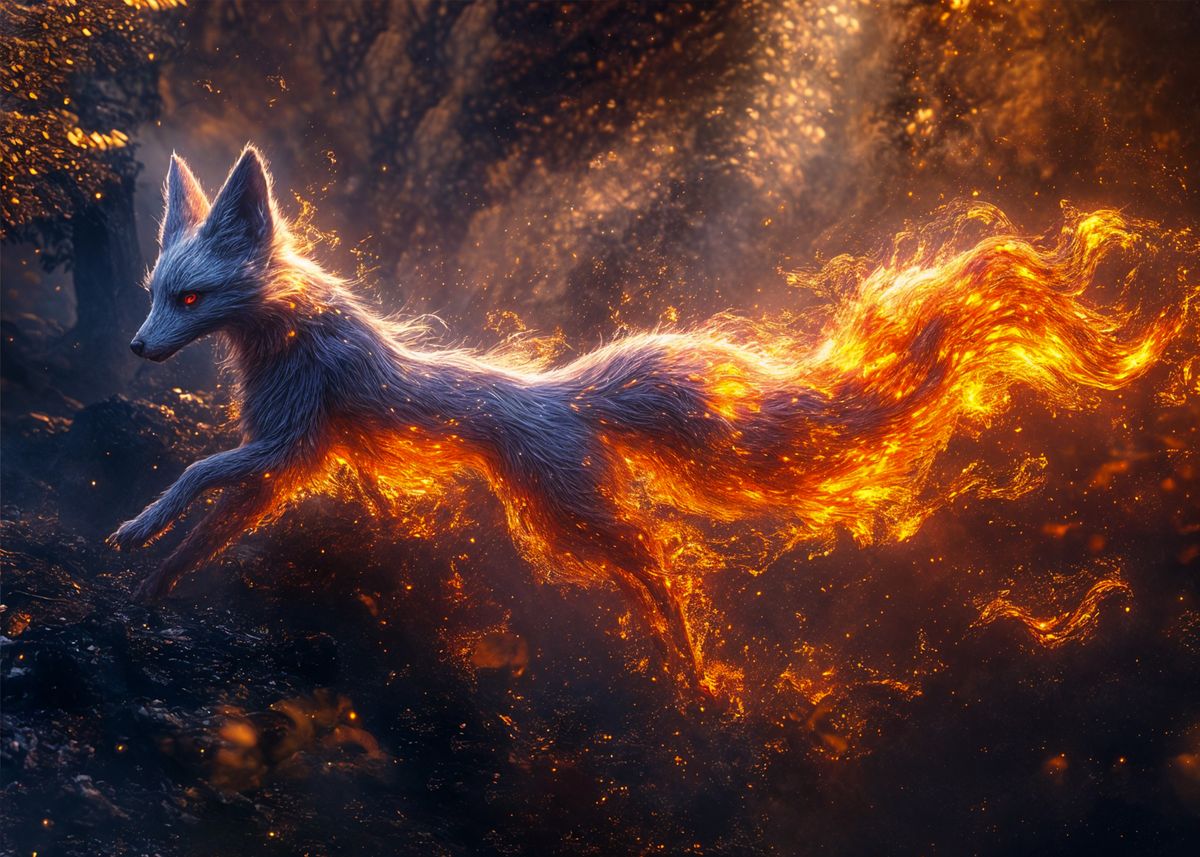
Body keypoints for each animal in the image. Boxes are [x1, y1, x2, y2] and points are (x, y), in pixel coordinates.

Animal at [111, 145, 1179, 692]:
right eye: (158, 292)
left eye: (191, 299)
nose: (136, 347)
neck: (281, 333)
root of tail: (568, 396)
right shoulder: (289, 461)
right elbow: (210, 524)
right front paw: (151, 588)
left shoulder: (287, 438)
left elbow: (194, 476)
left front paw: (133, 529)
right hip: (571, 520)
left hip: (571, 522)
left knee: (660, 560)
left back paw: (698, 668)